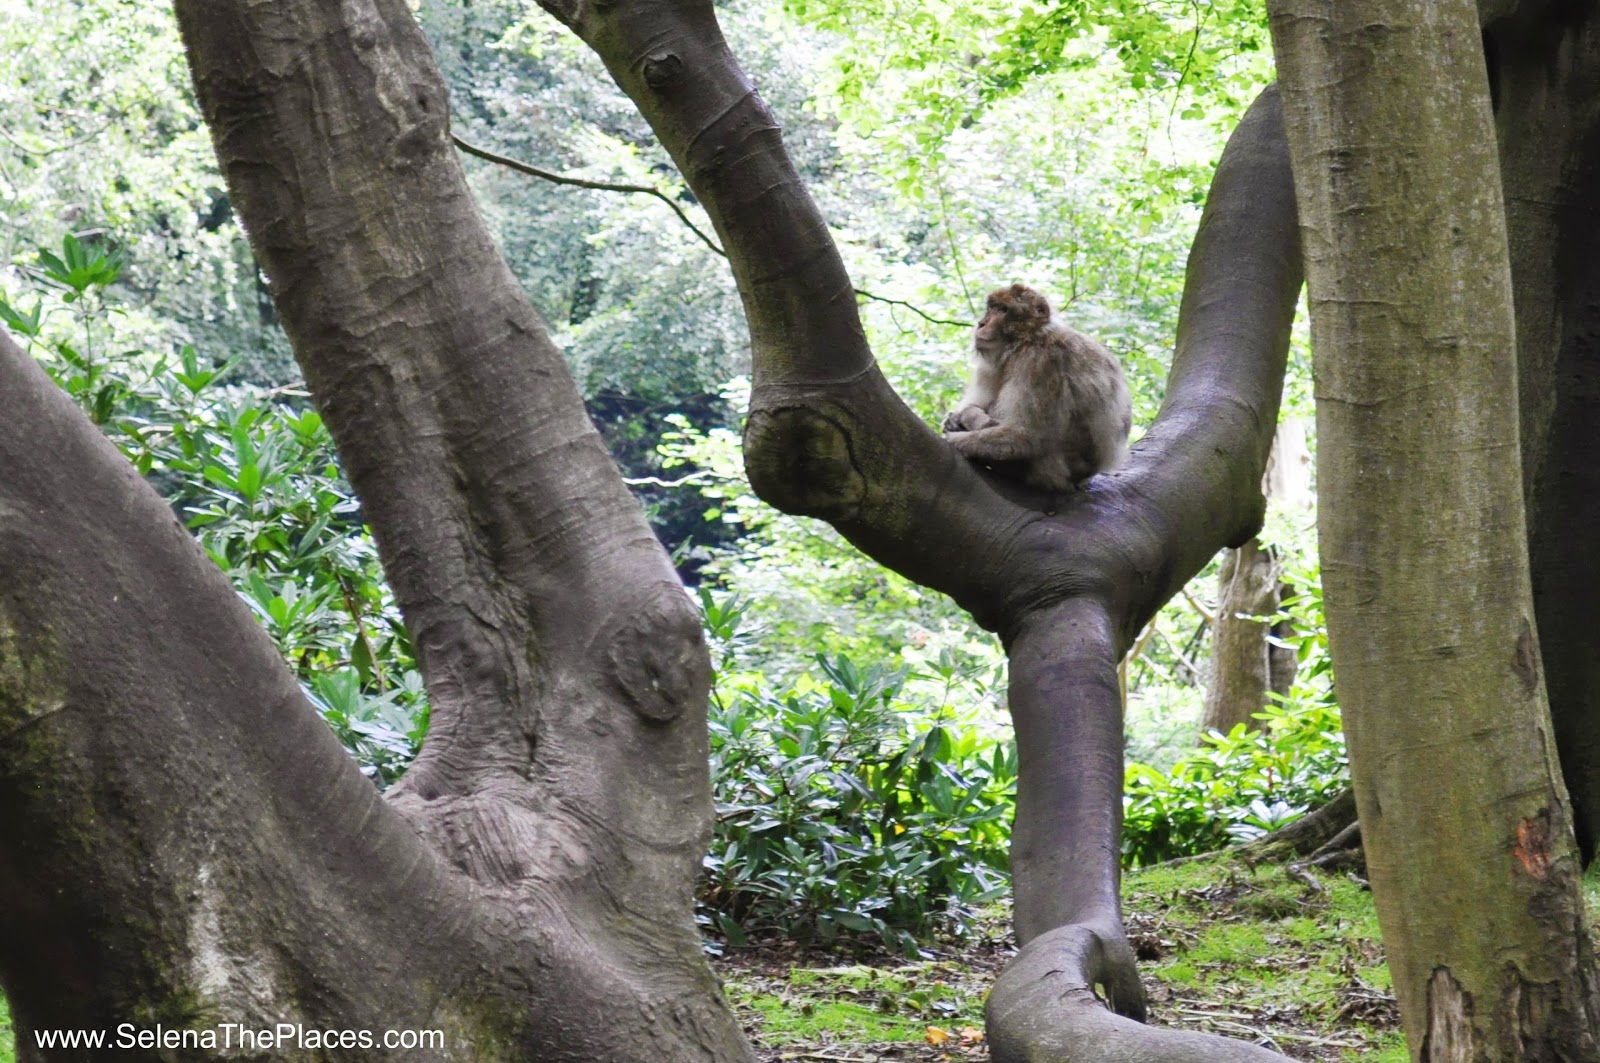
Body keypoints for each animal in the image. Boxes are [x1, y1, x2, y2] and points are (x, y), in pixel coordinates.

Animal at [942, 284, 1131, 493]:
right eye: (991, 307)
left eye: (1002, 310)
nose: (981, 323)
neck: (1026, 340)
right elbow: (975, 404)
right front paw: (959, 417)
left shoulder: (1039, 362)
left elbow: (1028, 436)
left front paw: (952, 439)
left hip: (1052, 472)